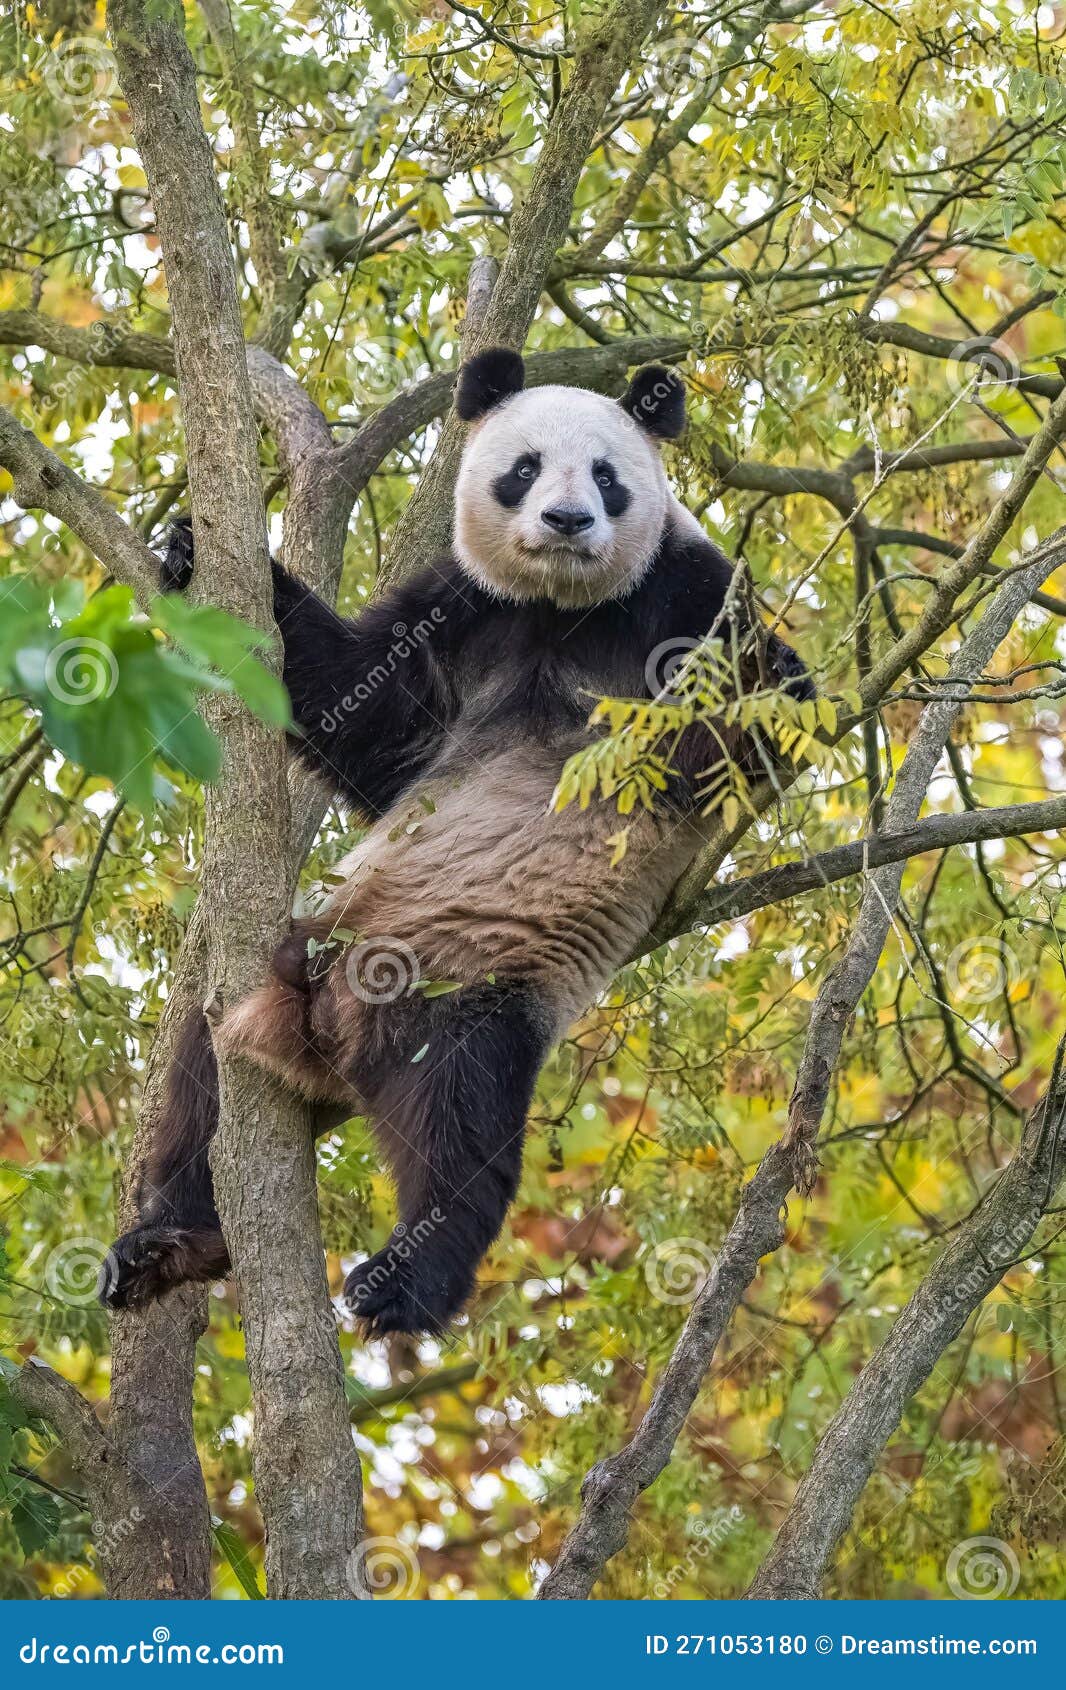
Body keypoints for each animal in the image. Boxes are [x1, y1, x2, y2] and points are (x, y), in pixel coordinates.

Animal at [100, 349, 812, 1337]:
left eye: (606, 476)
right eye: (524, 467)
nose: (565, 521)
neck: (561, 606)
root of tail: (330, 1025)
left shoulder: (687, 595)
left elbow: (757, 714)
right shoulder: (465, 607)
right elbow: (366, 712)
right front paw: (190, 553)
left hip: (478, 979)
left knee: (462, 1129)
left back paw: (403, 1282)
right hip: (277, 973)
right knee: (200, 1087)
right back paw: (169, 1238)